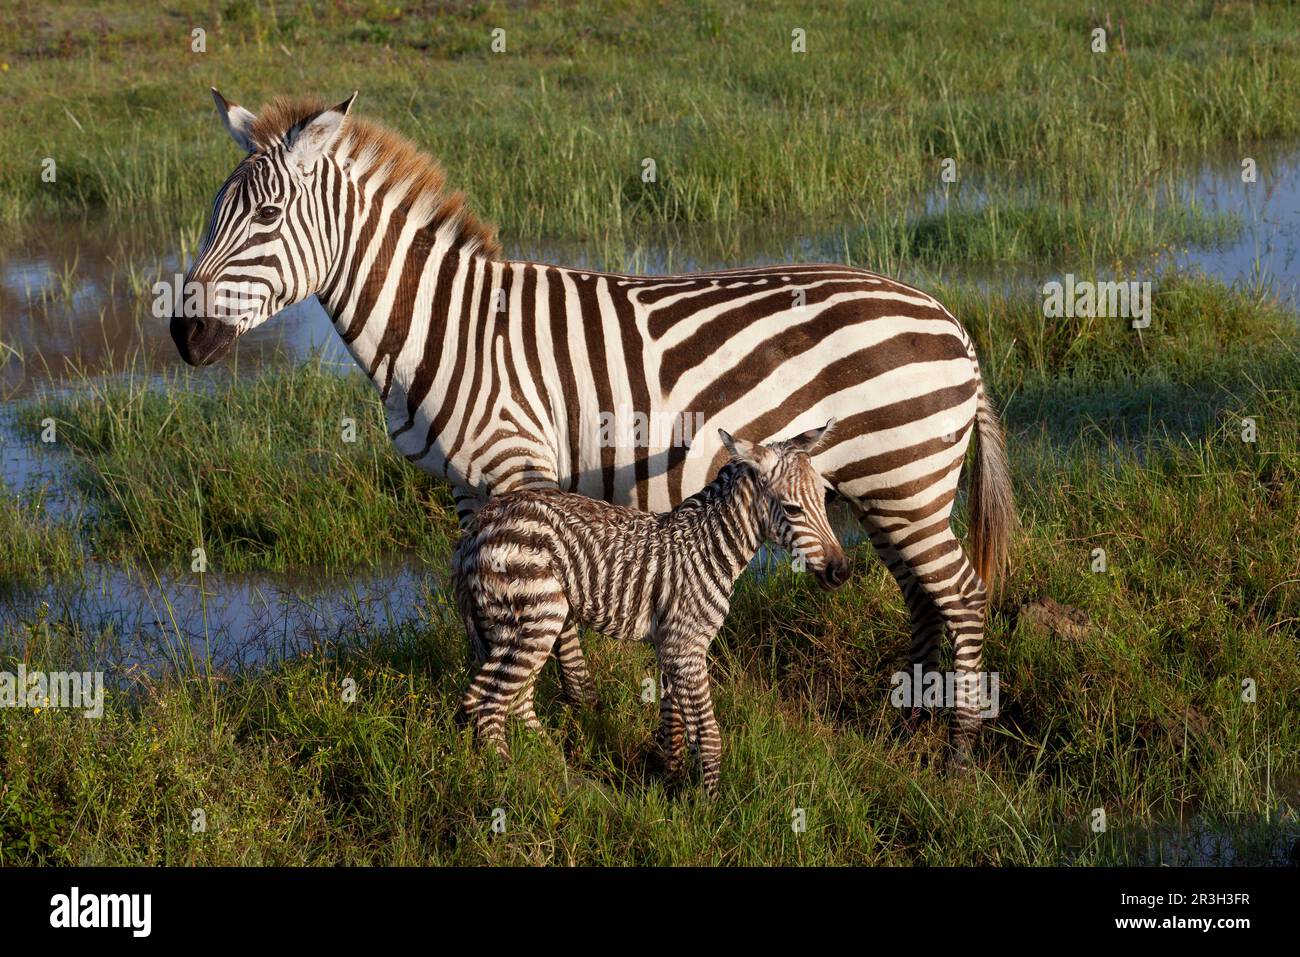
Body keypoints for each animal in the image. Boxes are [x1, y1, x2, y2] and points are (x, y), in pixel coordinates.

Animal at [455, 421, 846, 796]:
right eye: (793, 509)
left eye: (825, 499)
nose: (841, 571)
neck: (712, 551)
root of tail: (483, 521)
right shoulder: (686, 647)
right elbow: (709, 735)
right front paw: (708, 806)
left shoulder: (670, 646)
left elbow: (674, 723)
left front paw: (669, 784)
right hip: (537, 617)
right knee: (489, 702)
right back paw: (510, 777)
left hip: (511, 625)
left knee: (507, 699)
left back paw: (555, 768)